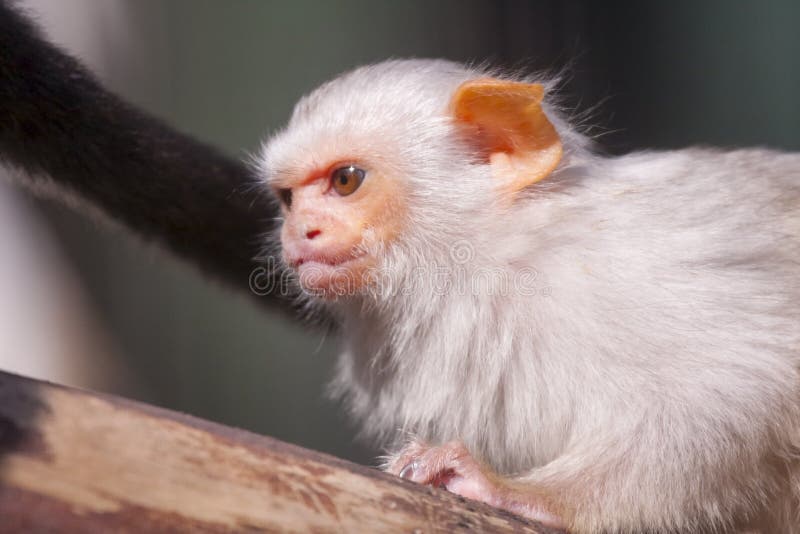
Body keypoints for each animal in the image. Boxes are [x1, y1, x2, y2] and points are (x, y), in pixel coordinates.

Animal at [258, 59, 800, 533]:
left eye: (345, 180)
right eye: (288, 200)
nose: (298, 234)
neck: (491, 256)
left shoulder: (631, 269)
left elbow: (738, 388)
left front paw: (525, 495)